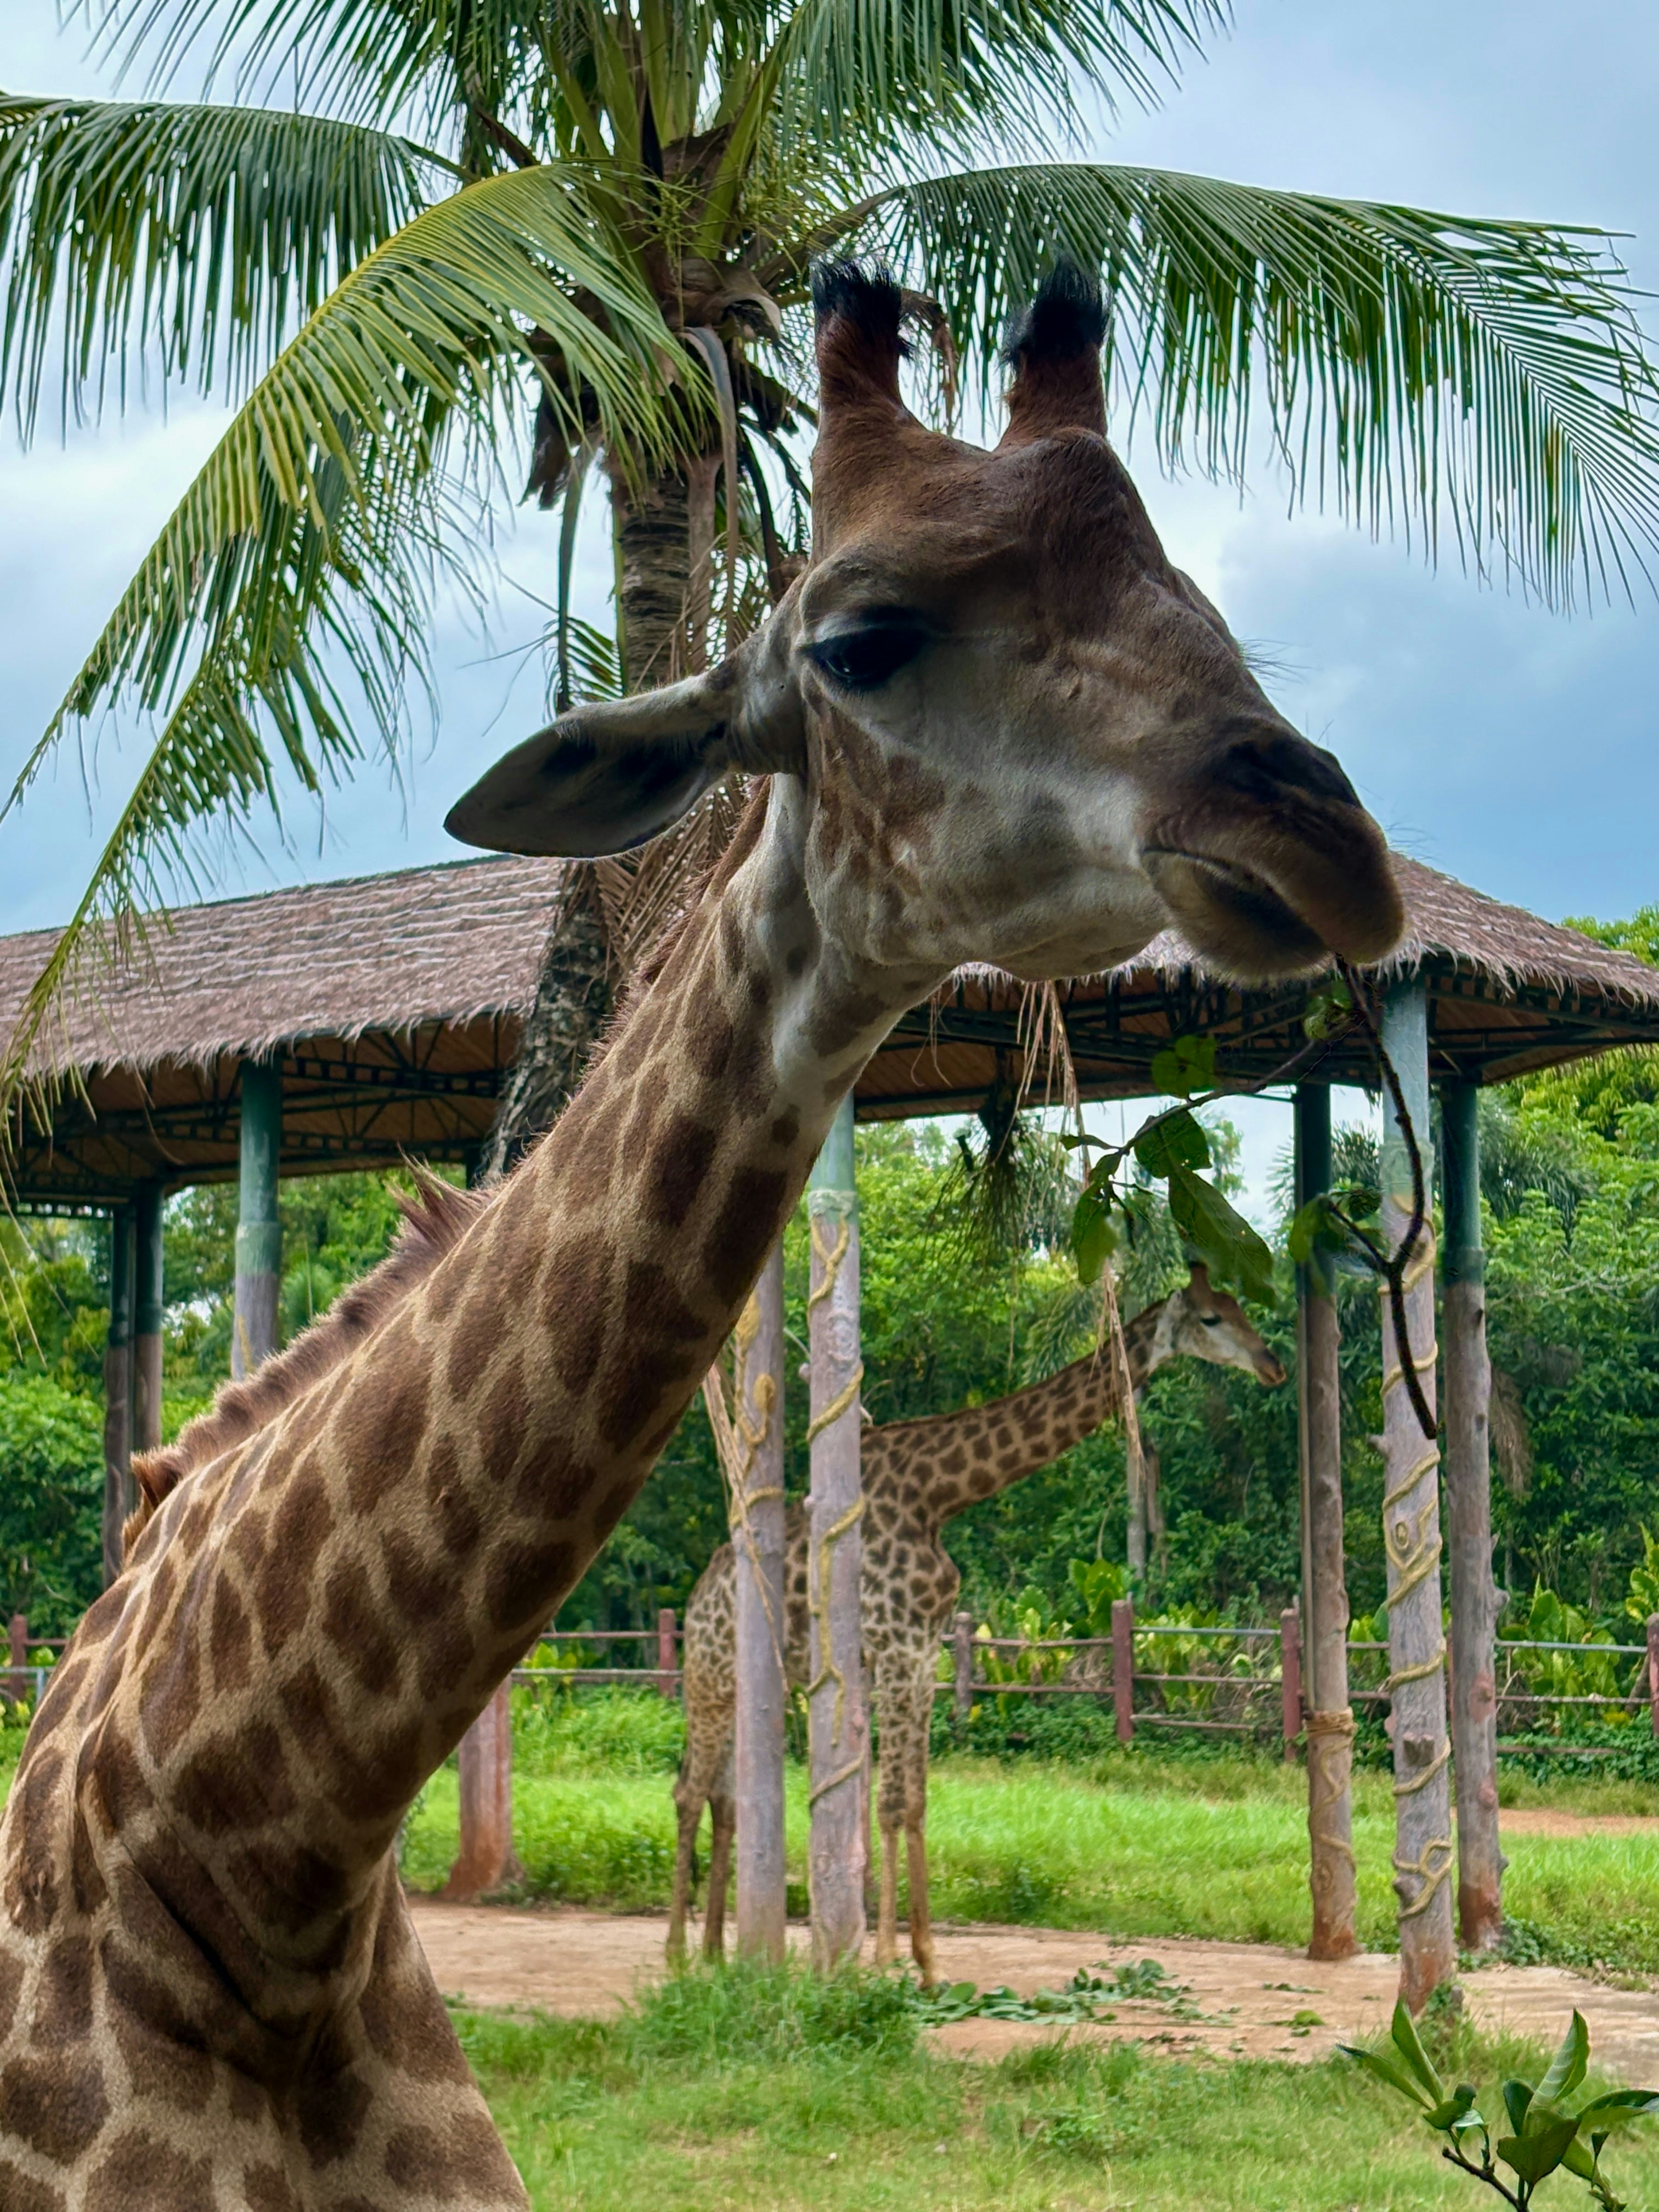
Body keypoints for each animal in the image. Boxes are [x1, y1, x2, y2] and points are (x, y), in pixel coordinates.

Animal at [668, 1264, 1286, 1976]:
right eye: (1212, 1318)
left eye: (1240, 1306)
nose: (1273, 1365)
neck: (941, 1496)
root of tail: (696, 1601)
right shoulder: (896, 1645)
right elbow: (891, 1801)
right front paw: (886, 1960)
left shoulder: (922, 1651)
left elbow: (916, 1800)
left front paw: (928, 1960)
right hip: (709, 1680)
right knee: (688, 1793)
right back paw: (677, 1955)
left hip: (746, 1685)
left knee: (724, 1801)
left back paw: (715, 1953)